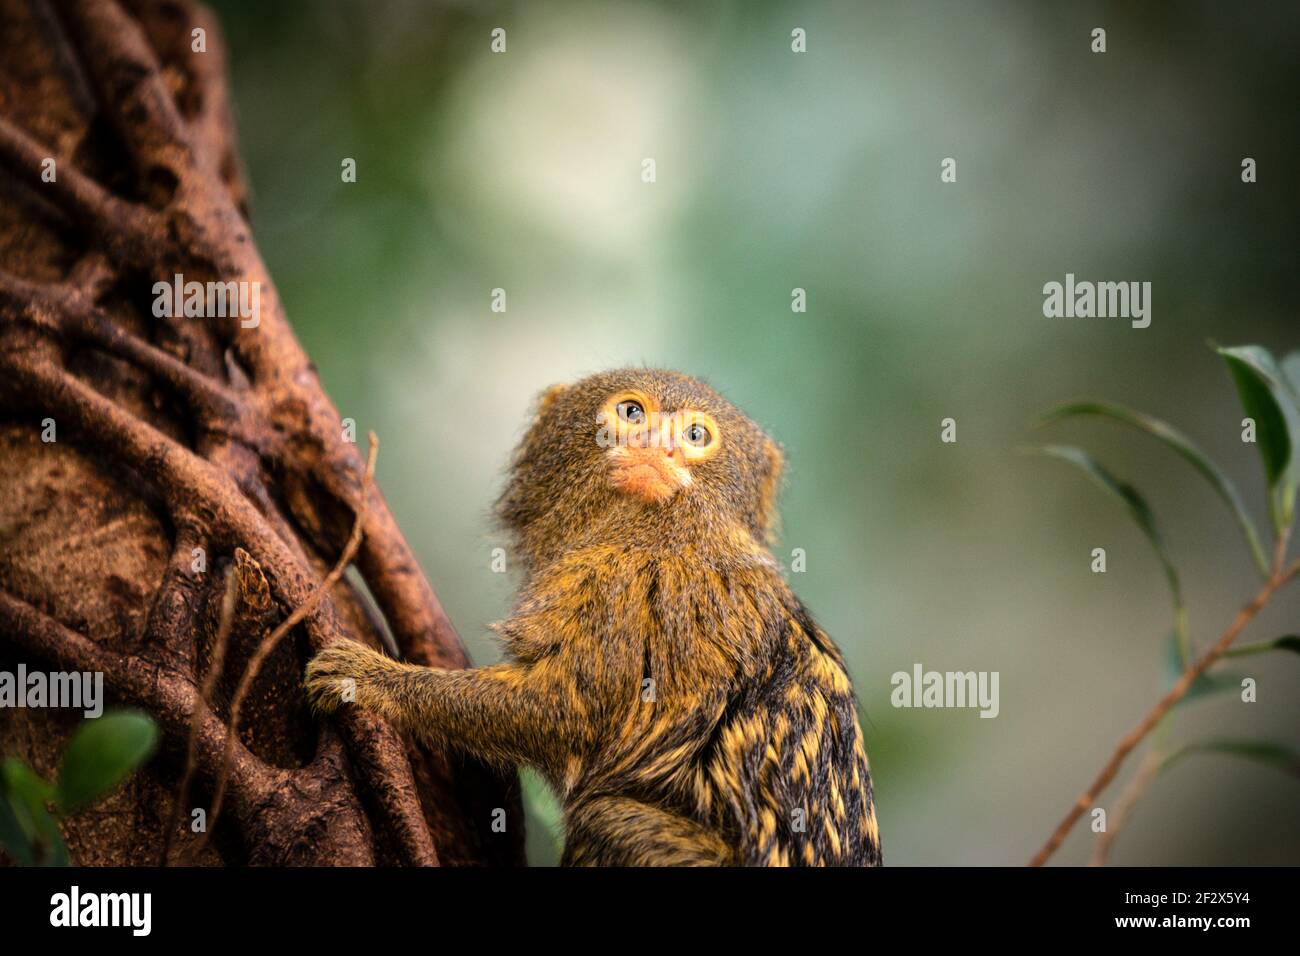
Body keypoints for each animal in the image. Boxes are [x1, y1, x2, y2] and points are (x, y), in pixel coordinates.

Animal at [305, 368, 881, 866]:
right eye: (631, 412)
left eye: (696, 434)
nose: (658, 445)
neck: (659, 538)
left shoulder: (621, 590)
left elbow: (566, 711)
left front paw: (372, 681)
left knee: (606, 819)